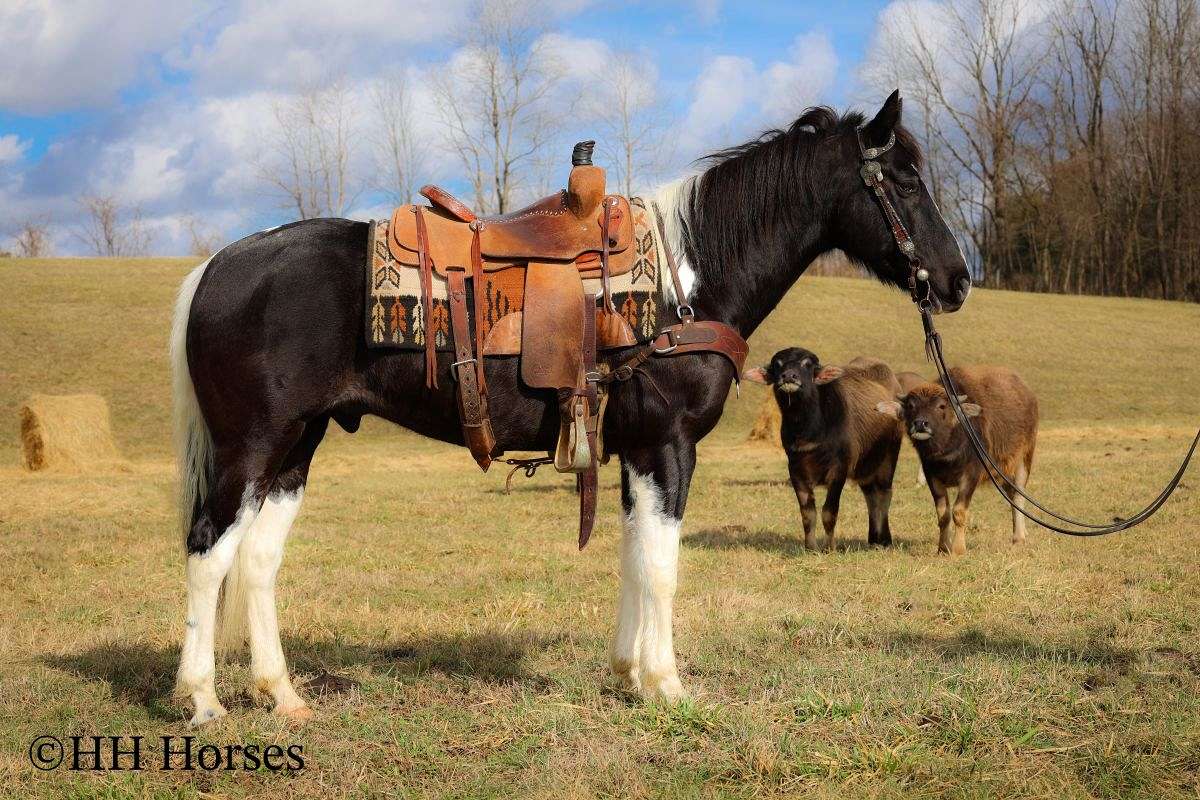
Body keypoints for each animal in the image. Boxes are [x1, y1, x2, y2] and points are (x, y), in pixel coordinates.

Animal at [171, 91, 972, 726]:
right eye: (905, 180)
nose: (959, 280)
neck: (685, 282)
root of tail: (217, 265)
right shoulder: (669, 447)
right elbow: (661, 566)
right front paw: (667, 684)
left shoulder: (634, 453)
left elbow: (633, 557)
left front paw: (627, 674)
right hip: (252, 445)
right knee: (209, 549)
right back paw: (203, 699)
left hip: (295, 448)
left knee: (258, 559)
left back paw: (282, 695)